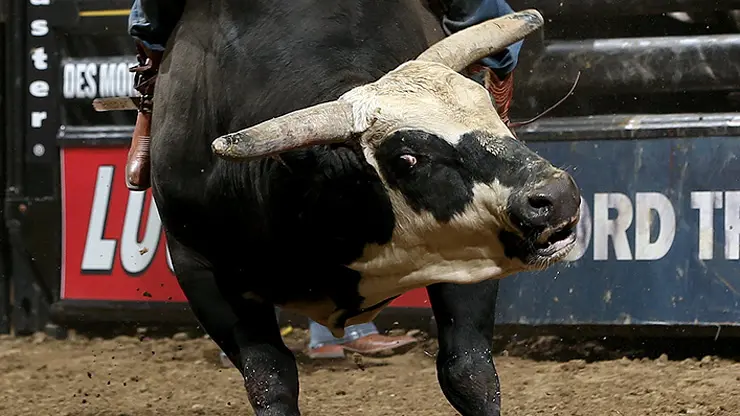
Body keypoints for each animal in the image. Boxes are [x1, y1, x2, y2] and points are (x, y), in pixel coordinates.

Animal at [102, 2, 581, 415]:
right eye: (407, 158)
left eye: (488, 109)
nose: (555, 196)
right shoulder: (200, 269)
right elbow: (270, 379)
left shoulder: (468, 253)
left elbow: (469, 371)